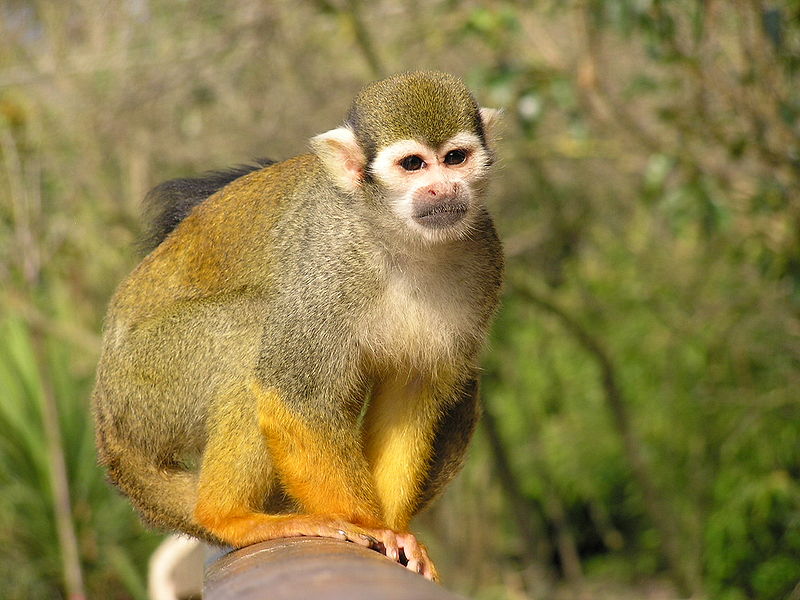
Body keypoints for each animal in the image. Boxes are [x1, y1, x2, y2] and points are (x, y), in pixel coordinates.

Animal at [92, 70, 504, 581]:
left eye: (454, 158)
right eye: (413, 164)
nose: (442, 190)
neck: (400, 238)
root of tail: (106, 417)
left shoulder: (484, 255)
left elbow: (411, 392)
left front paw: (397, 532)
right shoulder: (329, 261)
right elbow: (293, 393)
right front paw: (372, 526)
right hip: (147, 381)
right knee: (252, 331)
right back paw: (229, 516)